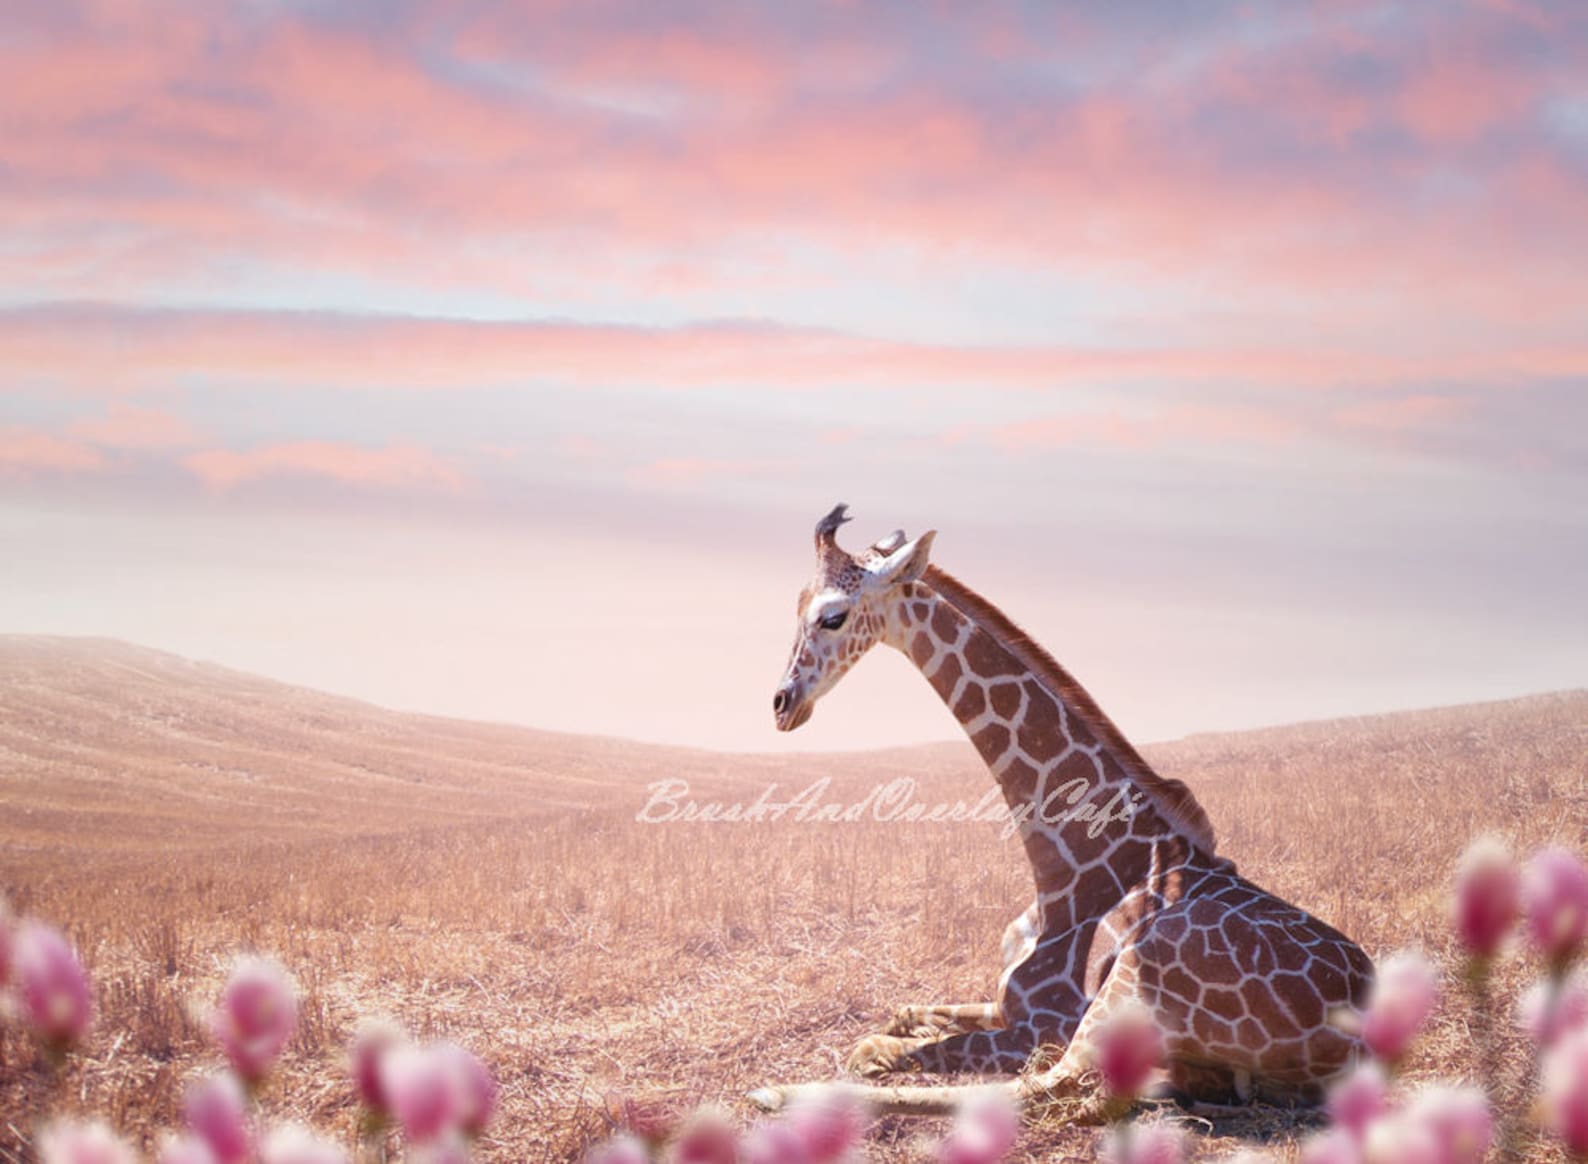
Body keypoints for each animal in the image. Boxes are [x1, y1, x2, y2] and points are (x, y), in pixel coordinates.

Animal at [753, 505, 1374, 1119]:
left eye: (833, 617)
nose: (783, 705)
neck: (1066, 861)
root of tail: (1361, 1044)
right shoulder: (1003, 1001)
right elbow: (898, 1019)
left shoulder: (1043, 1023)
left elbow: (879, 1050)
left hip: (1131, 980)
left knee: (1049, 1089)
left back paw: (777, 1094)